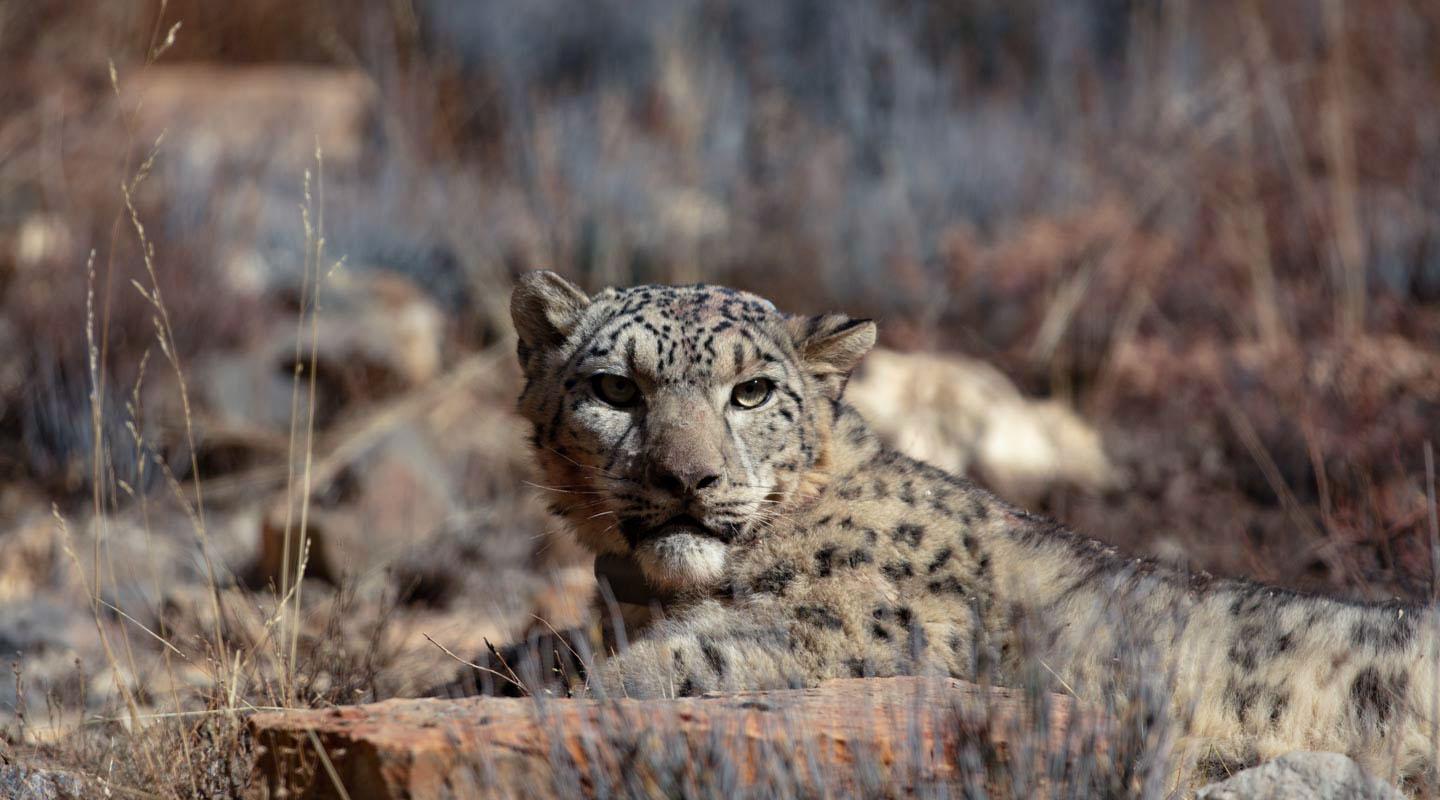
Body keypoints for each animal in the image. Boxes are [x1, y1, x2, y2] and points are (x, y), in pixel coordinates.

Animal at [499, 269, 1438, 786]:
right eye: (615, 388)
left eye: (752, 392)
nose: (687, 478)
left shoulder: (871, 633)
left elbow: (707, 654)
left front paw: (588, 688)